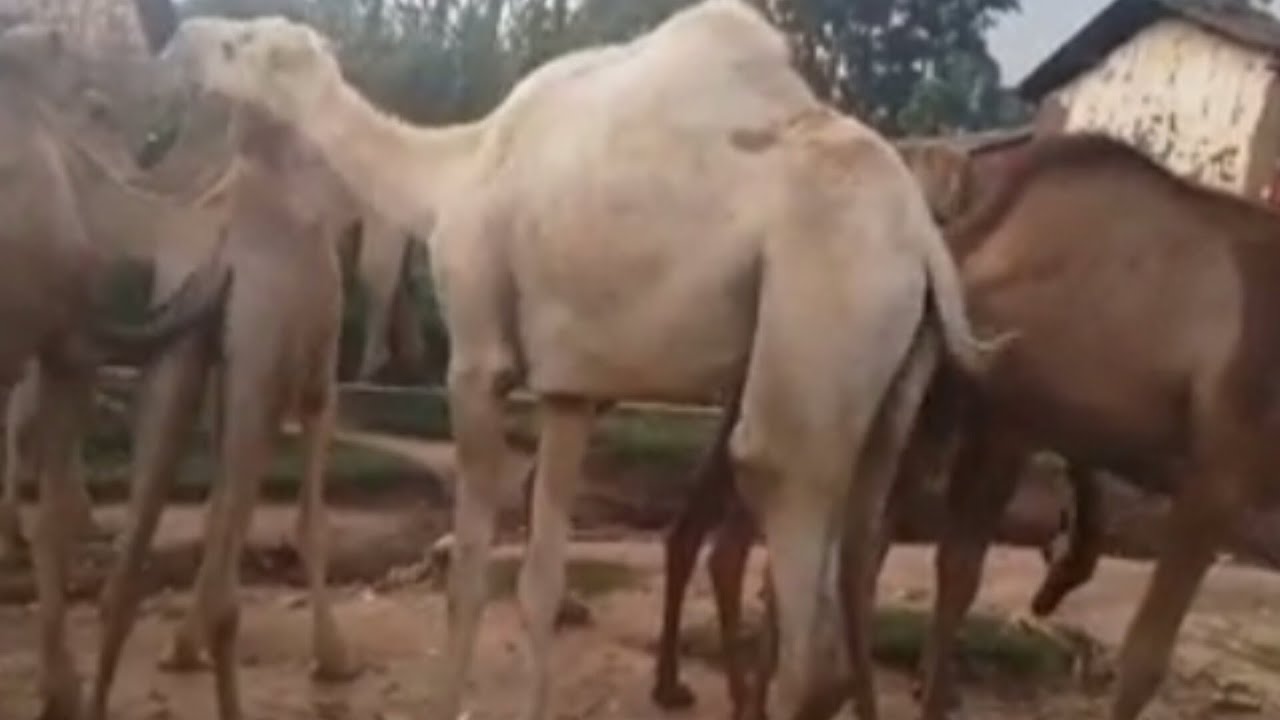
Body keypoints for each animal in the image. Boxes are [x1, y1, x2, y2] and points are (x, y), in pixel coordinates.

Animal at [158, 3, 1006, 718]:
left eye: (240, 43)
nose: (180, 38)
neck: (451, 171)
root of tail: (926, 244)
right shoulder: (569, 391)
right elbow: (540, 580)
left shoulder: (476, 358)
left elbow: (468, 574)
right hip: (892, 370)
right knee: (860, 538)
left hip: (823, 305)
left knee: (784, 522)